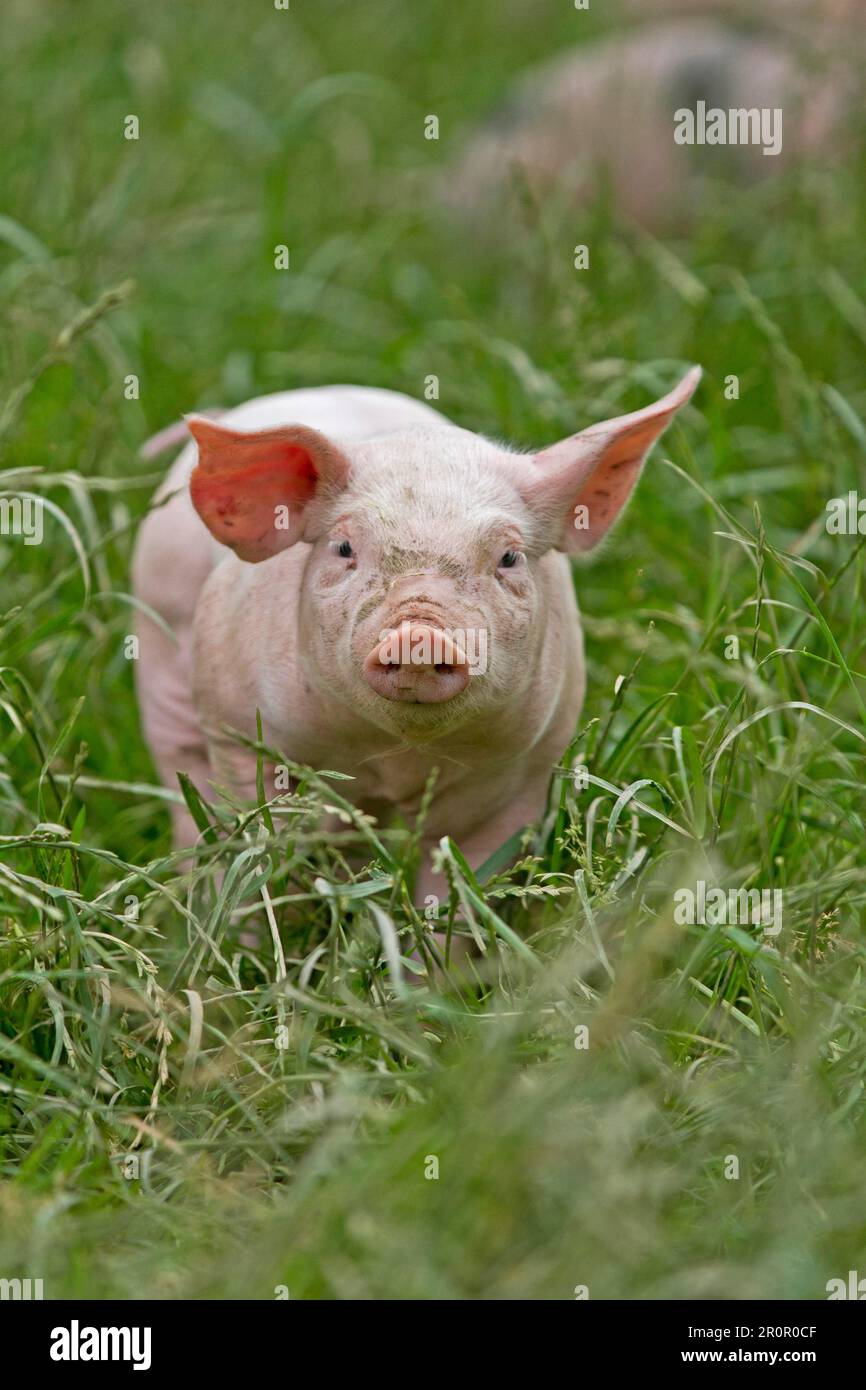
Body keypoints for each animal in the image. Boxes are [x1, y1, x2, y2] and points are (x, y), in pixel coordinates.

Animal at [132, 369, 700, 910]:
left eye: (509, 557)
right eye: (343, 548)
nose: (421, 635)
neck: (396, 755)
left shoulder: (520, 773)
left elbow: (464, 883)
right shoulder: (238, 731)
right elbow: (251, 853)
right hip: (161, 627)